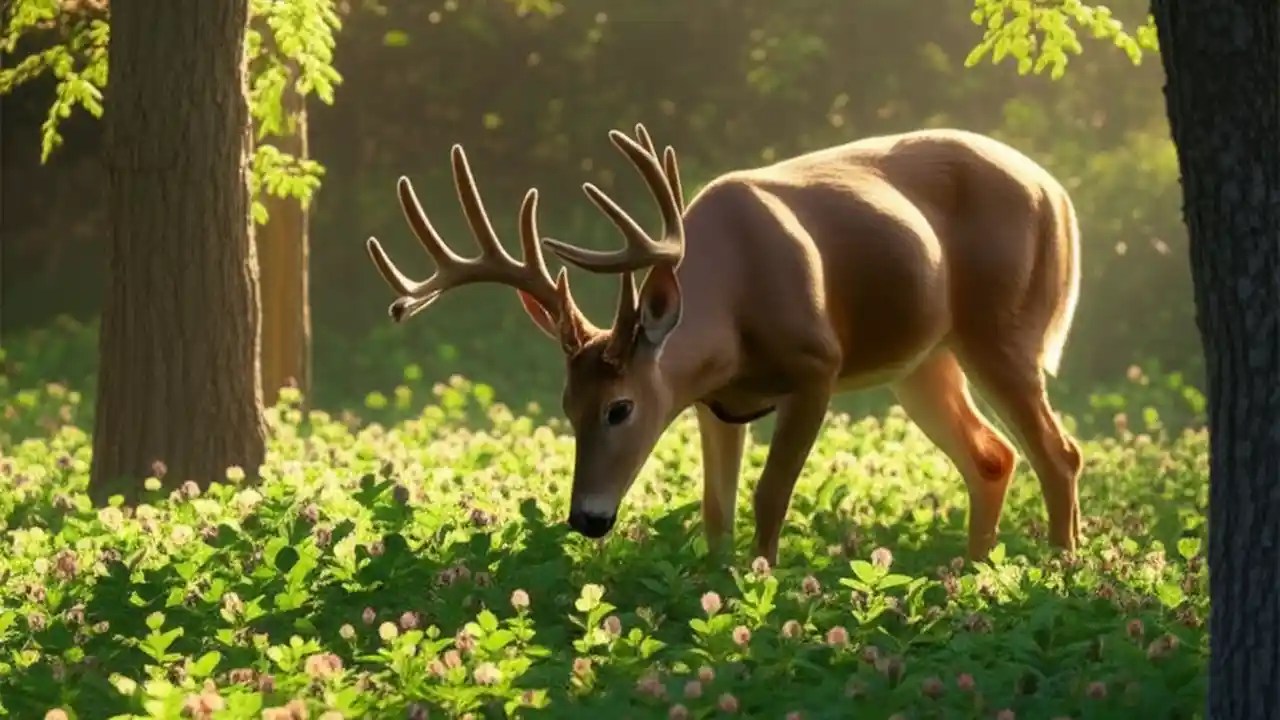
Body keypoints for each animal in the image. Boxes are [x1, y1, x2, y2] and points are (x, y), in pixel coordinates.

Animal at [365, 123, 1084, 567]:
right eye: (566, 406)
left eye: (620, 407)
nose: (588, 519)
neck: (732, 308)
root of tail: (1057, 193)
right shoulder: (715, 403)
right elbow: (717, 507)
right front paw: (718, 585)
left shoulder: (817, 368)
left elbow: (770, 495)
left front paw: (762, 589)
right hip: (924, 361)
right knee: (992, 457)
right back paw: (974, 572)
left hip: (1002, 328)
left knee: (1059, 453)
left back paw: (1057, 571)